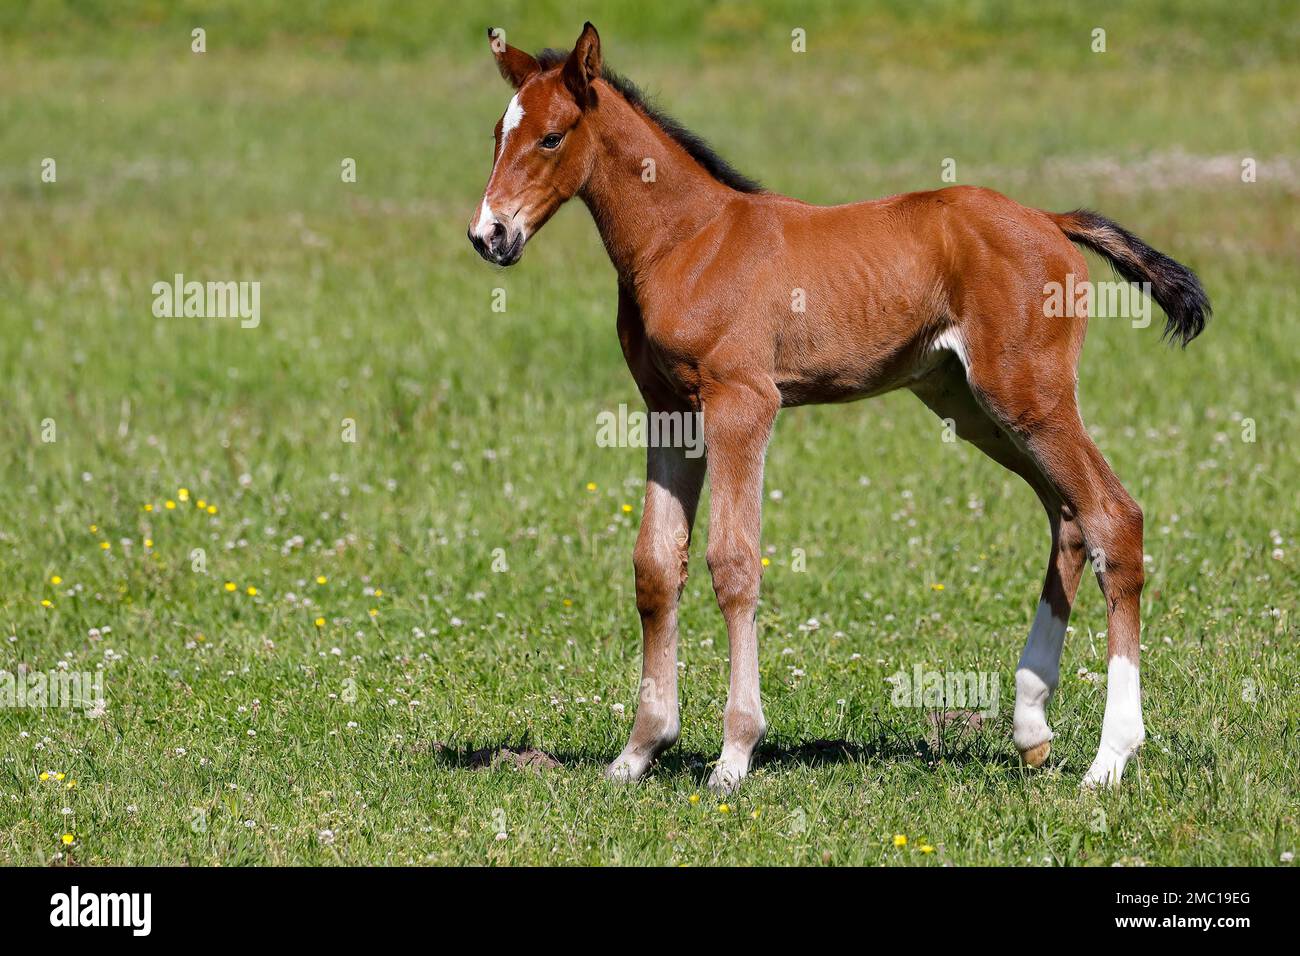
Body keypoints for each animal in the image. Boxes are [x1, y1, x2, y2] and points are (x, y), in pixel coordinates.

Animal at [467, 23, 1210, 793]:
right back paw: (1032, 728)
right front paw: (638, 752)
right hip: (970, 404)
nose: (489, 235)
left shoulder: (743, 403)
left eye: (552, 137)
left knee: (1114, 517)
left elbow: (733, 564)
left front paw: (734, 755)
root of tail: (1050, 220)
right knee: (1067, 517)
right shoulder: (667, 408)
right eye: (497, 133)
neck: (687, 241)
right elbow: (655, 565)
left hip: (1030, 397)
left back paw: (1110, 758)